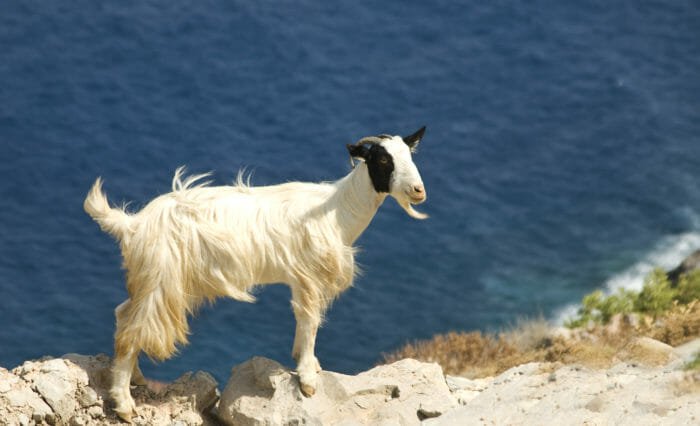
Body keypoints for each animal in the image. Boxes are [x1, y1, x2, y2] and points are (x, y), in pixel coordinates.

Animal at [84, 128, 428, 422]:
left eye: (411, 156)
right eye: (382, 159)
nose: (418, 191)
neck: (337, 209)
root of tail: (132, 225)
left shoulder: (300, 279)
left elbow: (303, 321)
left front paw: (306, 362)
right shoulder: (309, 276)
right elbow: (310, 321)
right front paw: (307, 379)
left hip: (149, 280)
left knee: (123, 314)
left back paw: (137, 379)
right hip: (159, 280)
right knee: (131, 331)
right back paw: (125, 406)